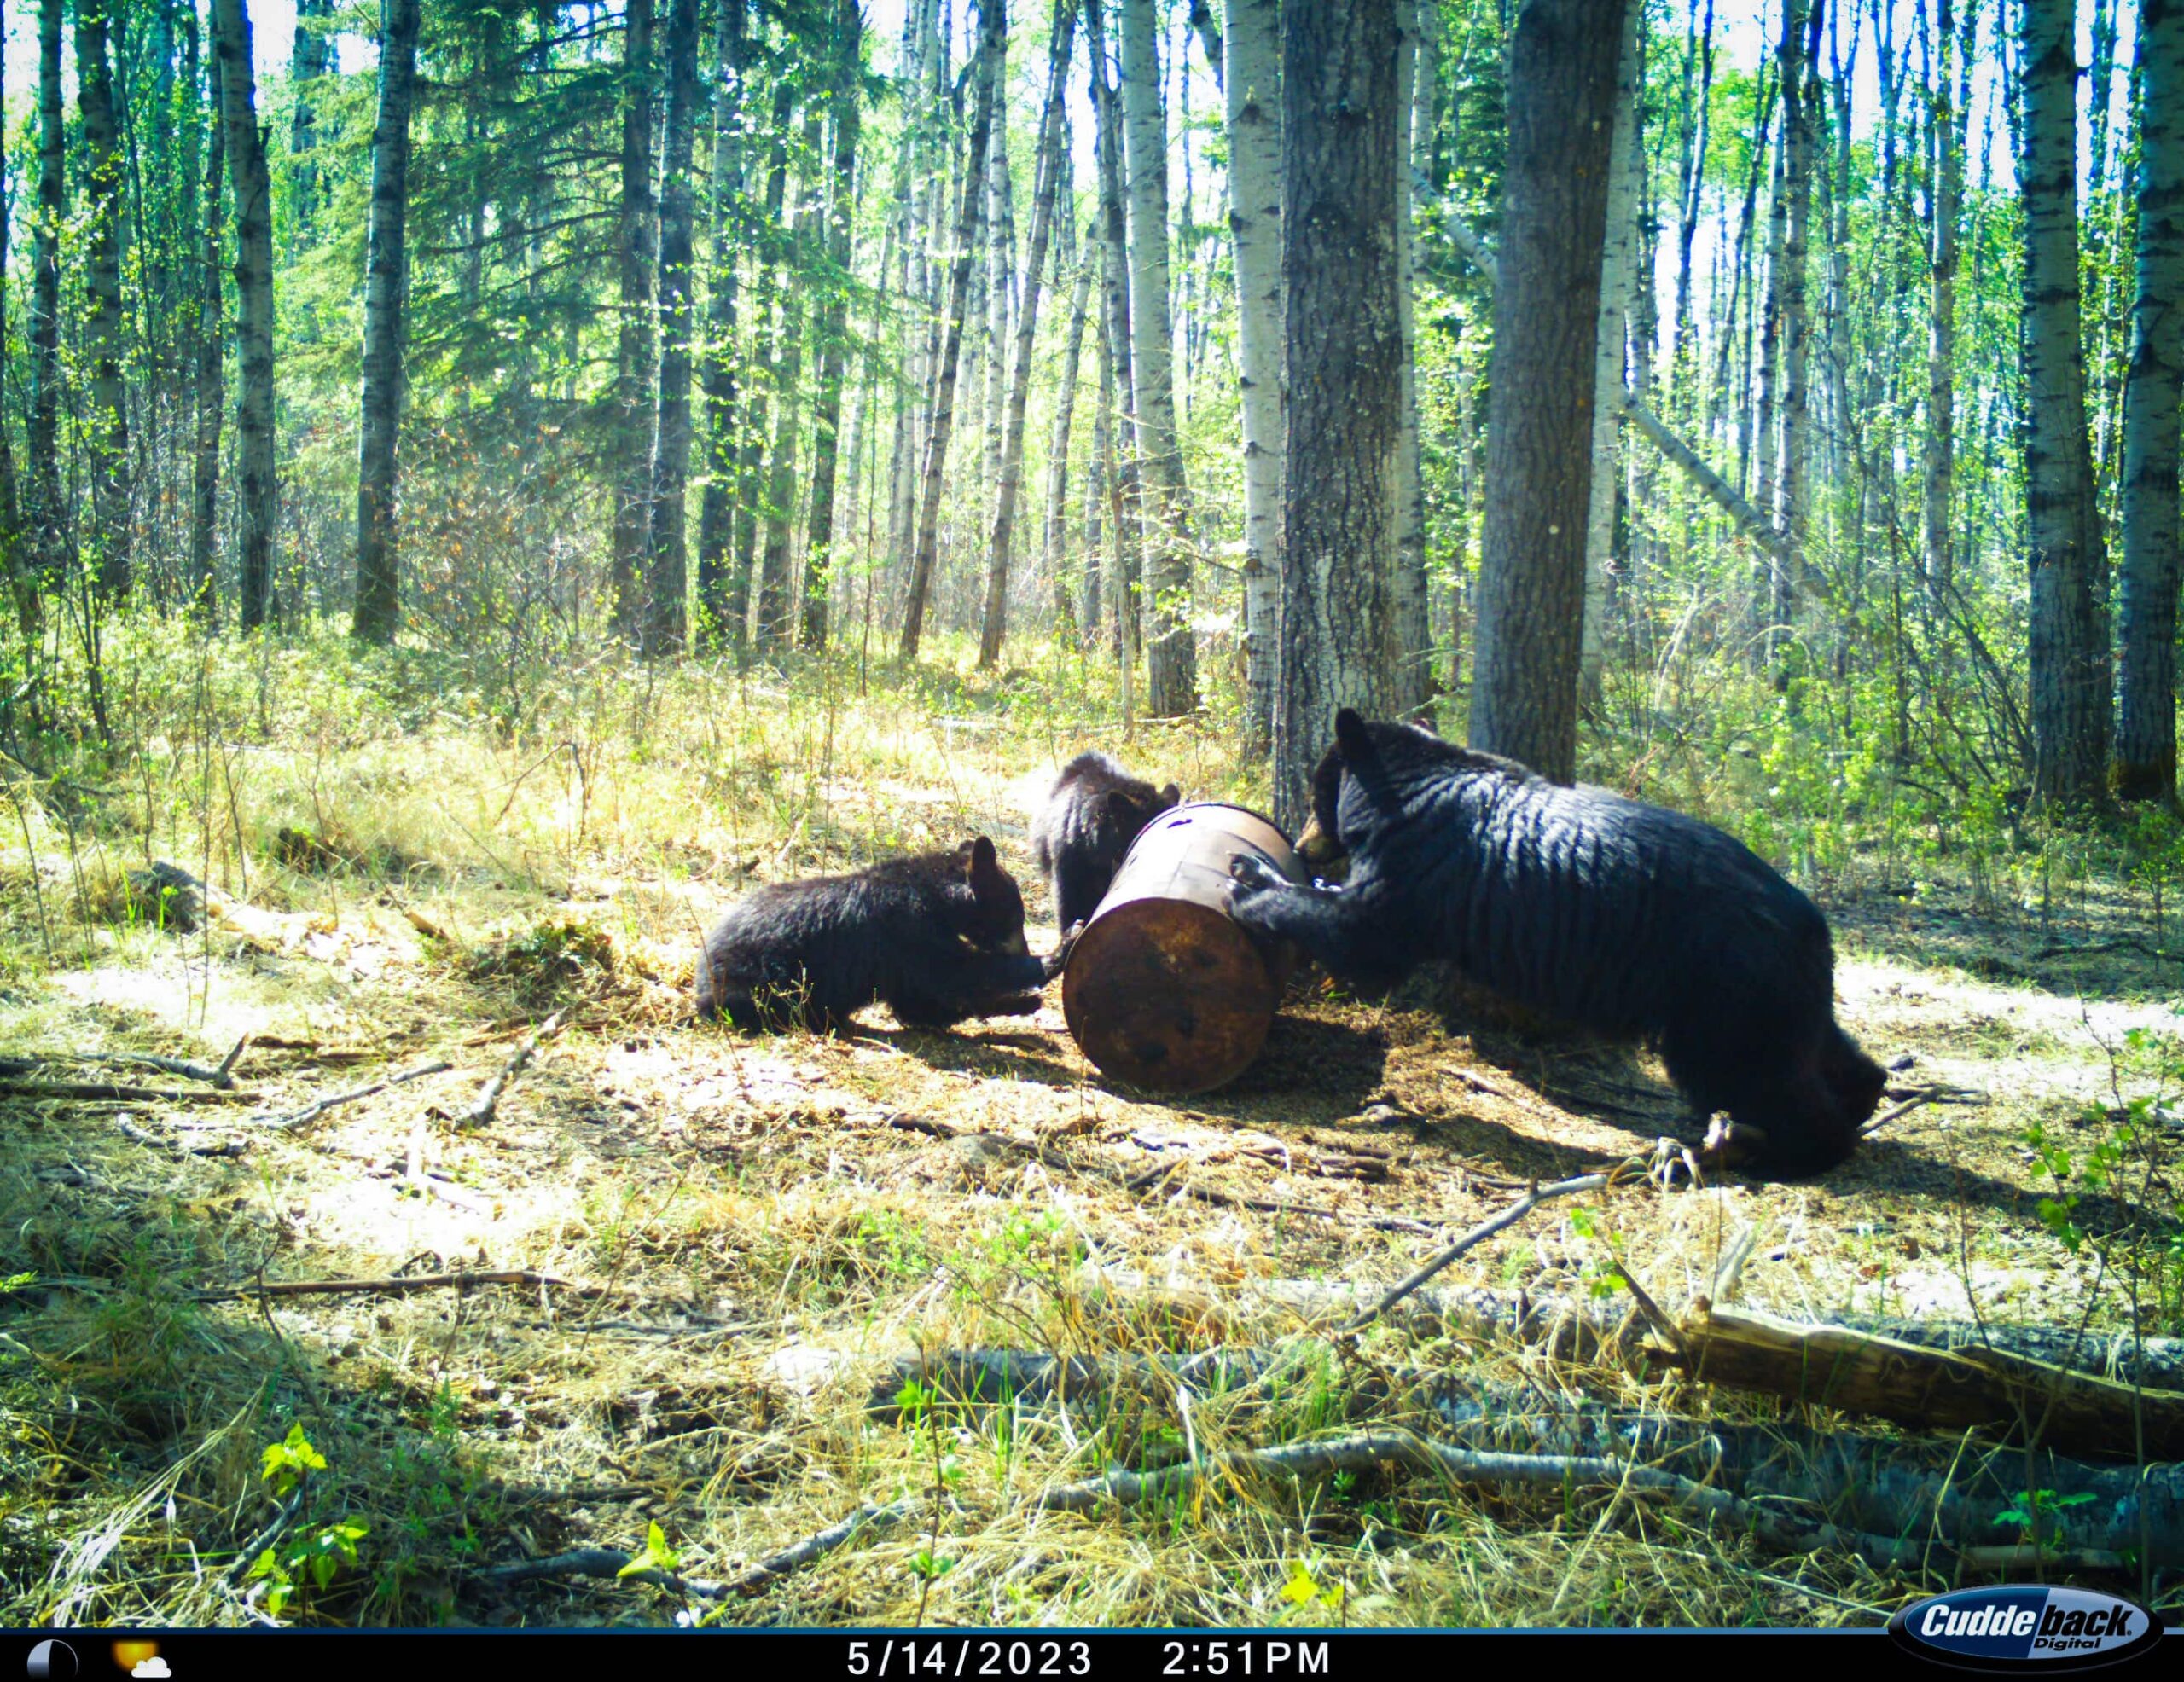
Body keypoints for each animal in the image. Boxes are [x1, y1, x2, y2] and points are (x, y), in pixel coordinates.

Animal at [695, 838, 1067, 1031]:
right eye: (1017, 917)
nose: (1023, 948)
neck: (938, 899)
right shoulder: (906, 932)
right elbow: (954, 973)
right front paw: (1055, 955)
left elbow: (921, 1004)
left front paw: (1023, 1002)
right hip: (759, 978)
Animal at [1225, 711, 1886, 1180]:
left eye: (1318, 792)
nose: (1303, 845)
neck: (1411, 789)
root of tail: (1810, 917)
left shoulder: (1414, 867)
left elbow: (1361, 937)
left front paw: (1249, 884)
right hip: (1780, 988)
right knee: (1815, 1048)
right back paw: (1864, 1092)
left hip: (1724, 986)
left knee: (1751, 1071)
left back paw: (1796, 1150)